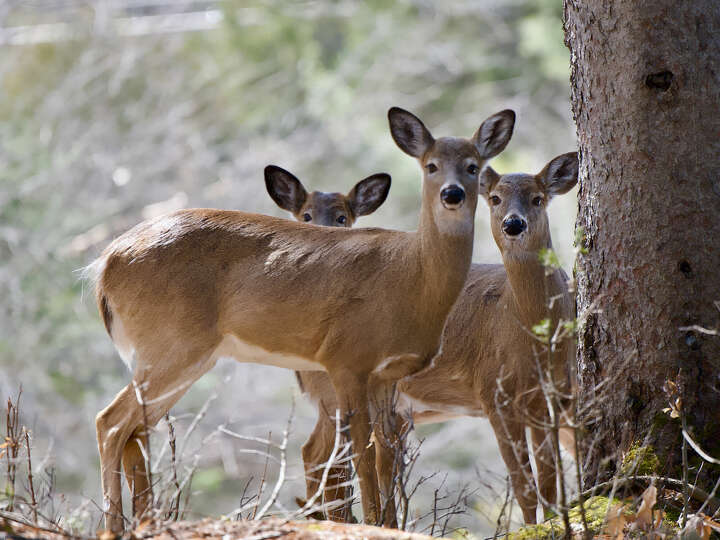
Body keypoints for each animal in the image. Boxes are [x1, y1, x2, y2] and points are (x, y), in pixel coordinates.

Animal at [88, 106, 516, 531]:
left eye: (473, 166)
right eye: (431, 165)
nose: (452, 194)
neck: (412, 276)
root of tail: (107, 262)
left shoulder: (386, 375)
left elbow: (385, 454)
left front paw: (390, 524)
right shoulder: (346, 359)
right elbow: (361, 454)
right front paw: (372, 523)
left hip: (184, 356)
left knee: (135, 430)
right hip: (170, 344)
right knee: (111, 422)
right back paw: (115, 527)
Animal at [282, 153, 579, 525]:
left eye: (538, 198)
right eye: (495, 198)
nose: (514, 224)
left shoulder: (548, 400)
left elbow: (550, 483)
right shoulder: (493, 393)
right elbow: (524, 485)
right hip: (334, 390)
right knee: (321, 456)